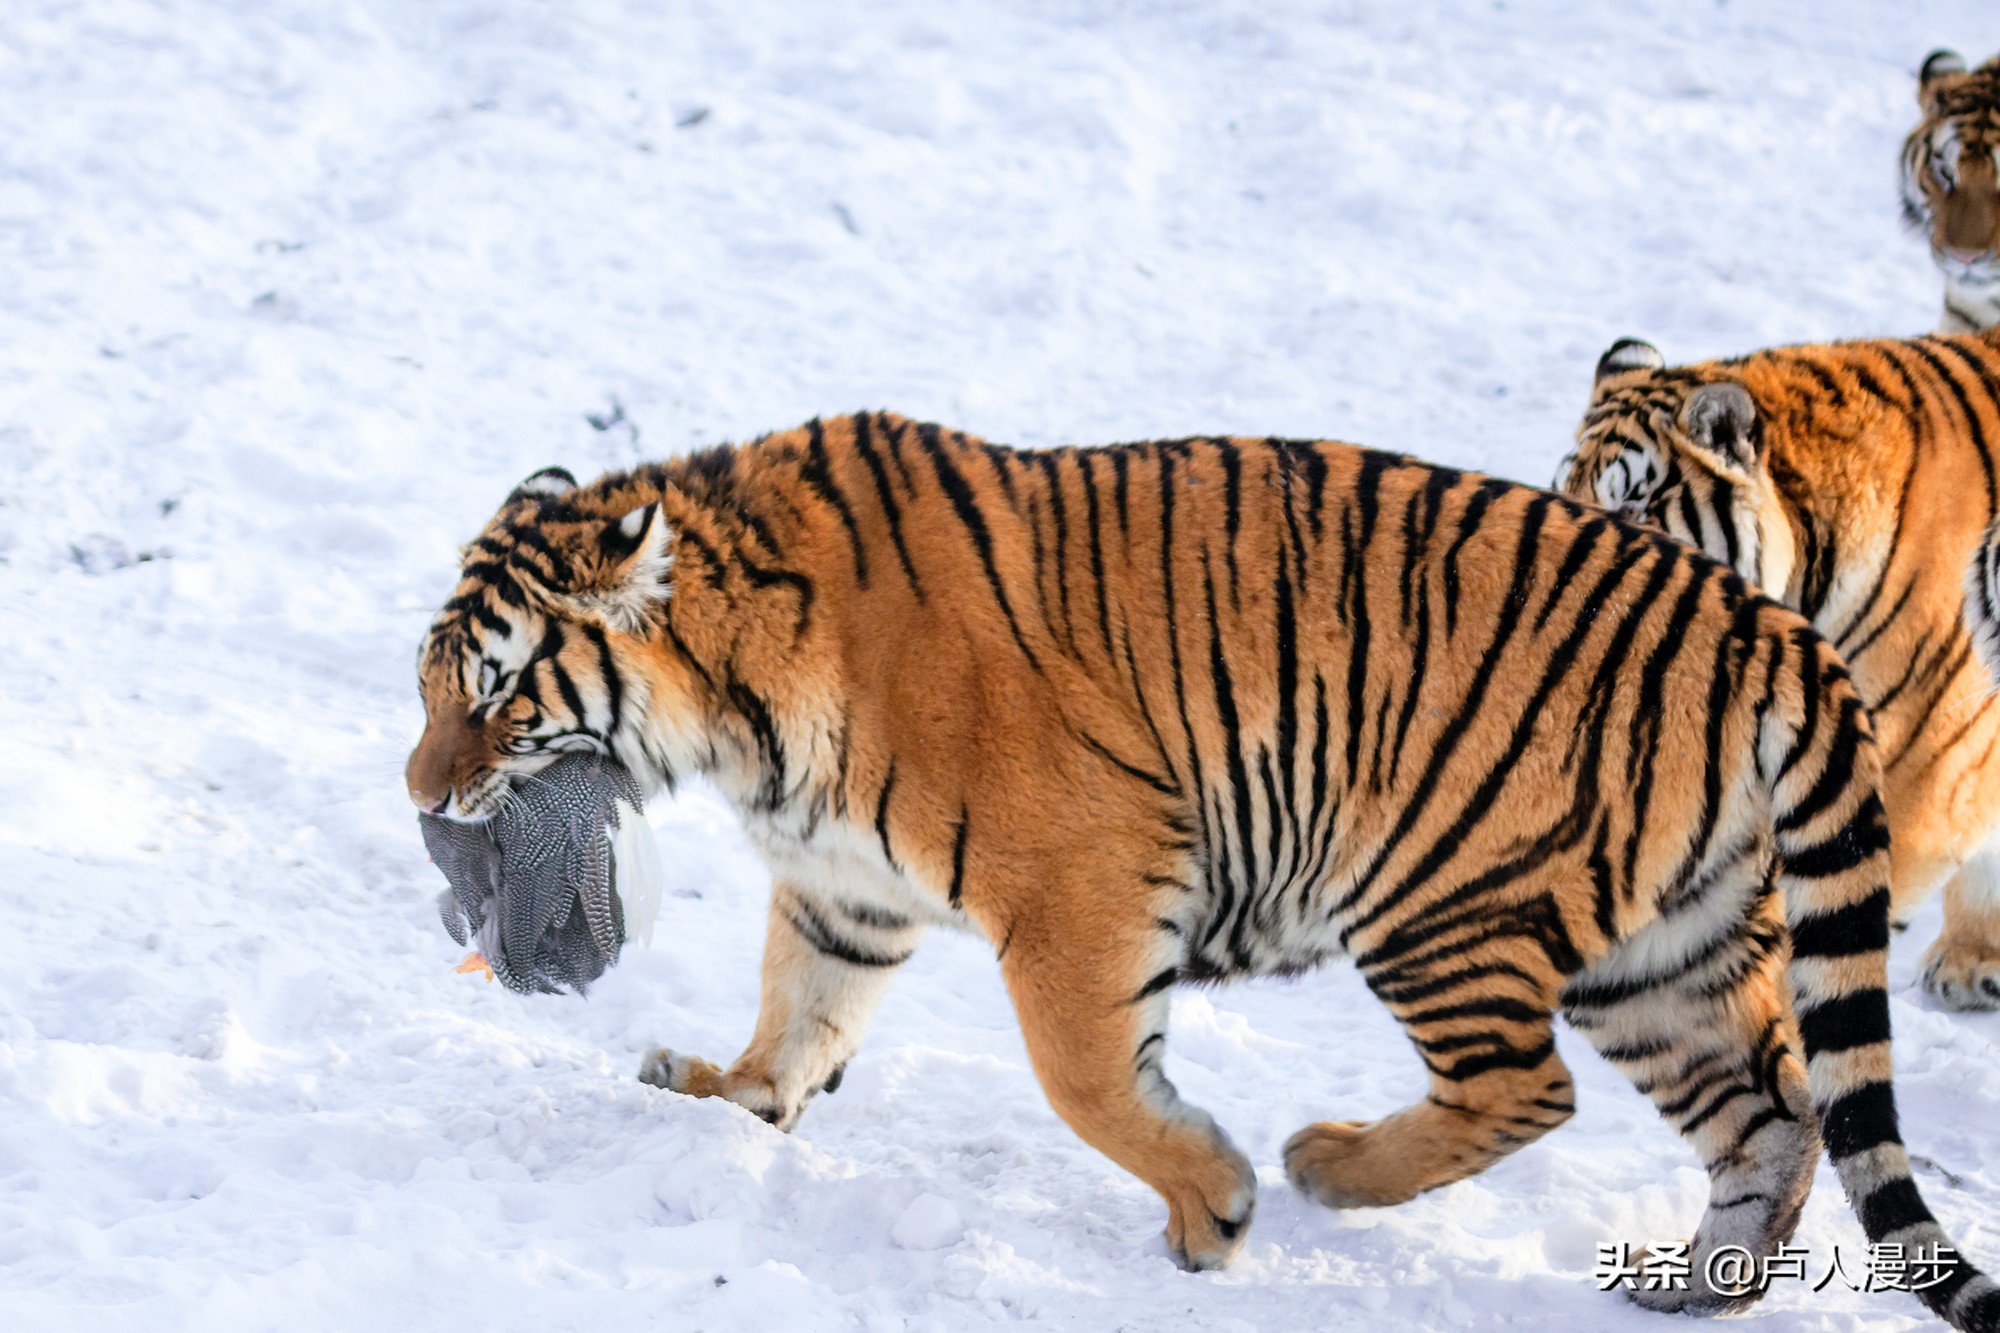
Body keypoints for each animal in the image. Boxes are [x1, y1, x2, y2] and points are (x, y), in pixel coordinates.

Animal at [407, 413, 1998, 1327]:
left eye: (493, 696)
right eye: (429, 687)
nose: (419, 790)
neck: (737, 694)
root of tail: (1765, 623)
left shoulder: (1083, 875)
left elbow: (1088, 1078)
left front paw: (1212, 1206)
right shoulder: (845, 882)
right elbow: (800, 1007)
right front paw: (724, 1093)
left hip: (1443, 892)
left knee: (1527, 1085)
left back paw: (1326, 1168)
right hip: (1661, 949)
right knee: (1776, 1111)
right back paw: (1686, 1290)